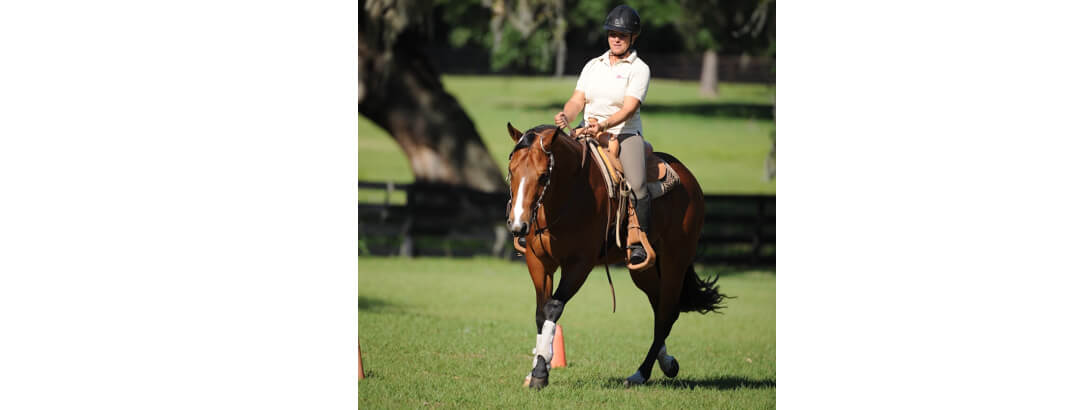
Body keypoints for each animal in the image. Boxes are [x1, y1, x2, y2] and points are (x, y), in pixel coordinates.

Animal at [504, 123, 727, 389]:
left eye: (543, 176)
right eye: (511, 171)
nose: (518, 226)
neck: (569, 194)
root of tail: (689, 178)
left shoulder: (579, 264)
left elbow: (553, 307)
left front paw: (540, 372)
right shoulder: (538, 262)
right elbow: (540, 313)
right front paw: (537, 367)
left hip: (675, 261)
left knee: (667, 313)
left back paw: (641, 373)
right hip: (644, 269)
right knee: (659, 307)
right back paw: (667, 363)